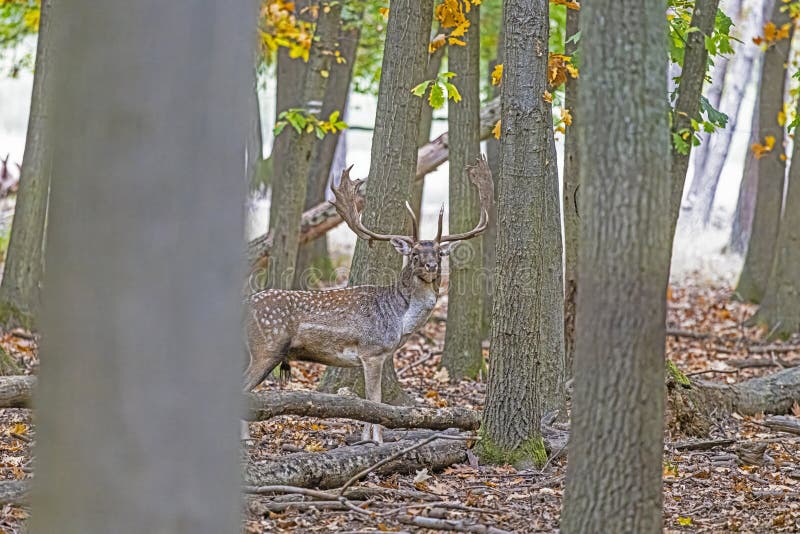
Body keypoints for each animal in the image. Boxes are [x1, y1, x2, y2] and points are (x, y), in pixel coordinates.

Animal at [243, 156, 493, 442]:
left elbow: (368, 400)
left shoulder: (374, 356)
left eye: (439, 254)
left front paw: (366, 438)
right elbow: (375, 400)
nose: (431, 266)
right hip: (267, 347)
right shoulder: (372, 351)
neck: (399, 321)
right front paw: (377, 441)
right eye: (415, 254)